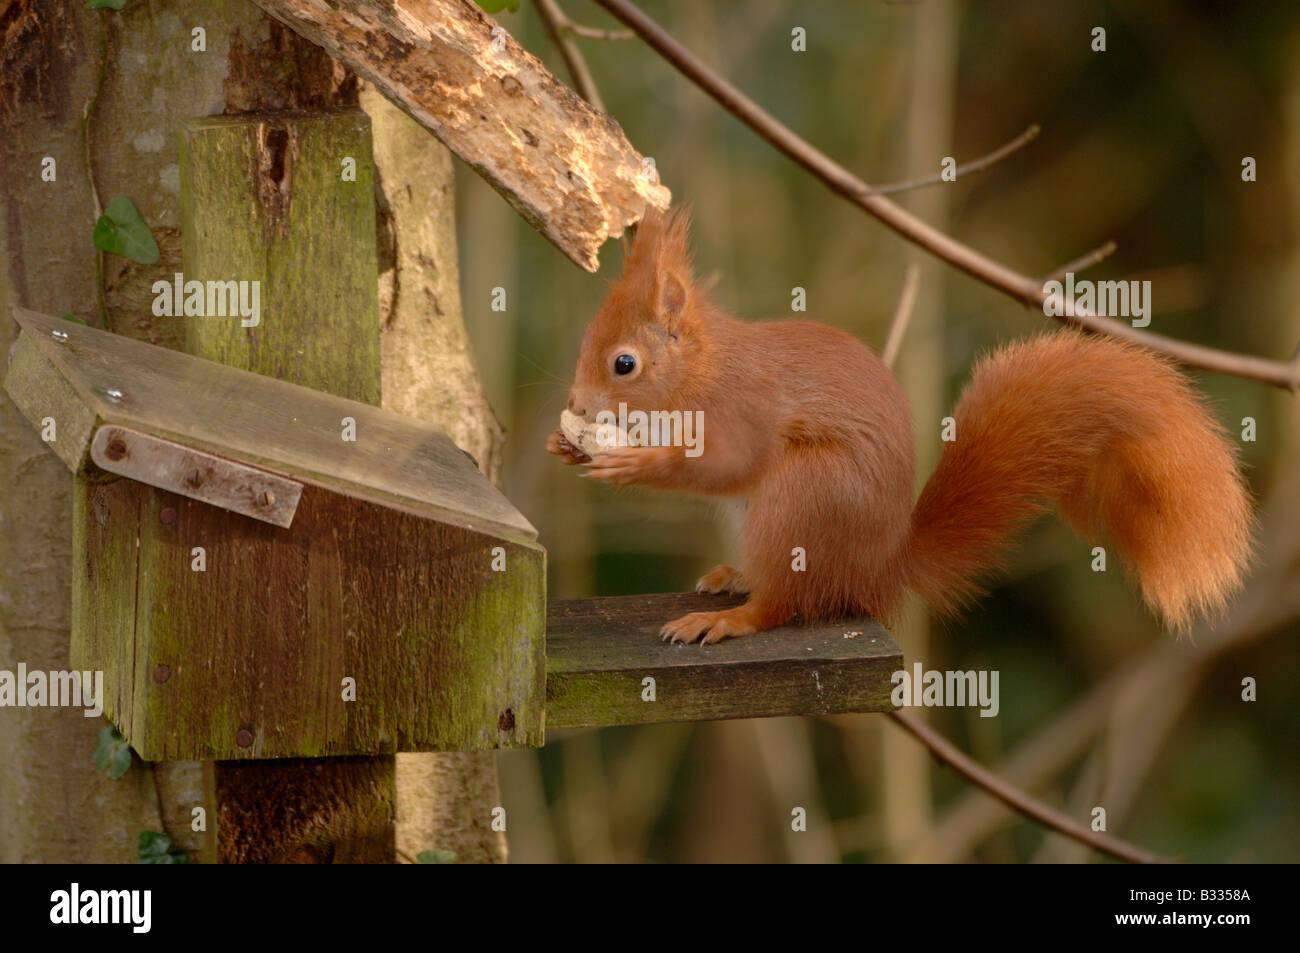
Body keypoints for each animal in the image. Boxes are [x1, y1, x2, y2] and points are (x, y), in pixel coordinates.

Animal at [547, 209, 1254, 644]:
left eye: (625, 364)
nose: (576, 402)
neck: (700, 370)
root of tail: (882, 569)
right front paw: (566, 445)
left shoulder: (747, 406)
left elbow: (727, 463)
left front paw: (630, 463)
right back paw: (734, 577)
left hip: (804, 496)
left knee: (787, 602)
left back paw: (732, 618)